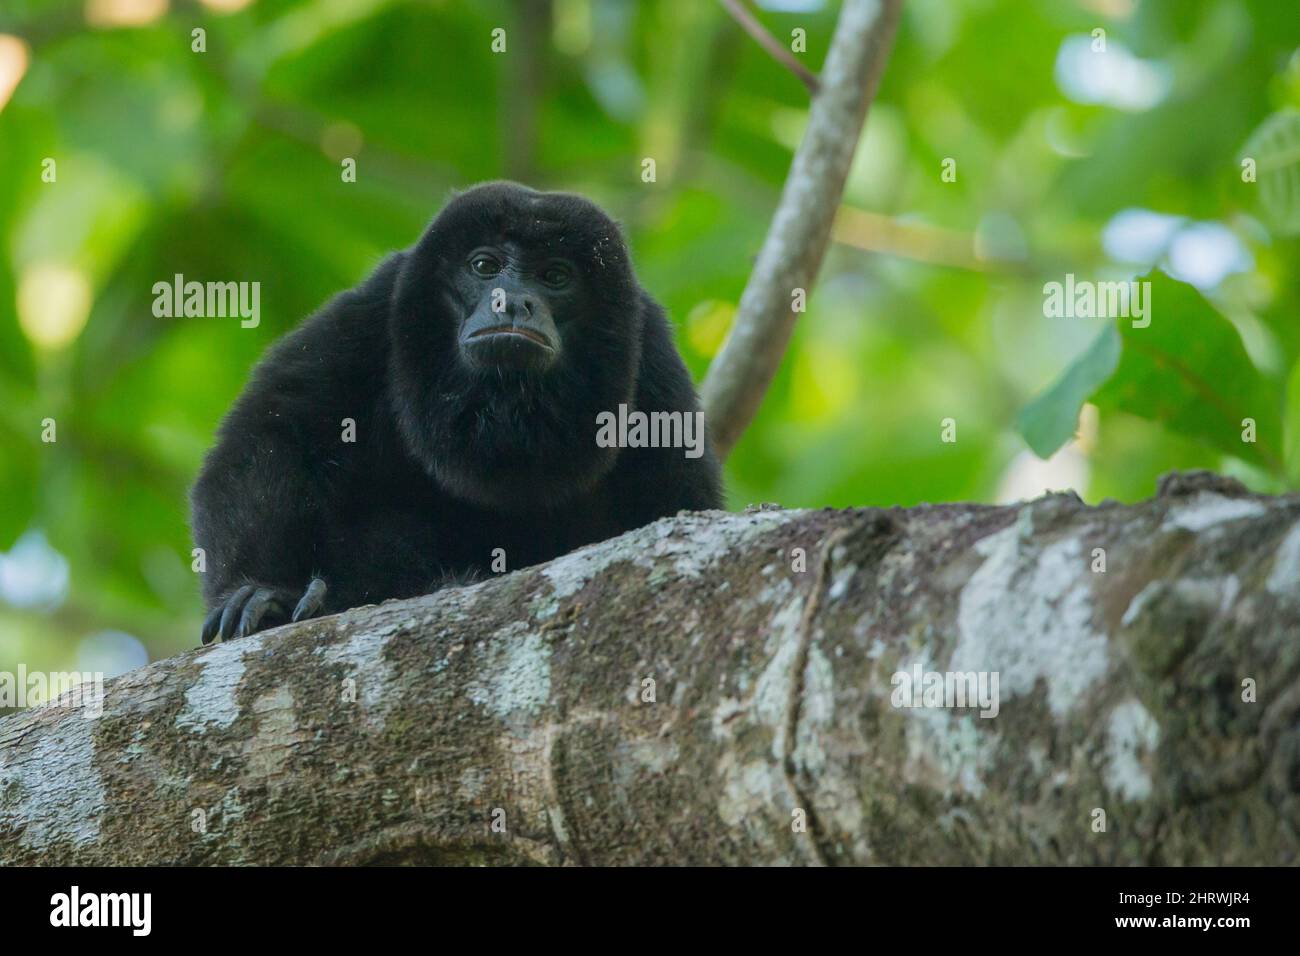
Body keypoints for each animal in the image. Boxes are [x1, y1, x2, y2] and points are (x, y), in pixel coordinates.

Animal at [190, 181, 723, 643]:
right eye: (484, 265)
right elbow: (273, 433)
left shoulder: (650, 351)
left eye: (555, 276)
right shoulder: (377, 306)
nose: (513, 300)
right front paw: (263, 591)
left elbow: (674, 496)